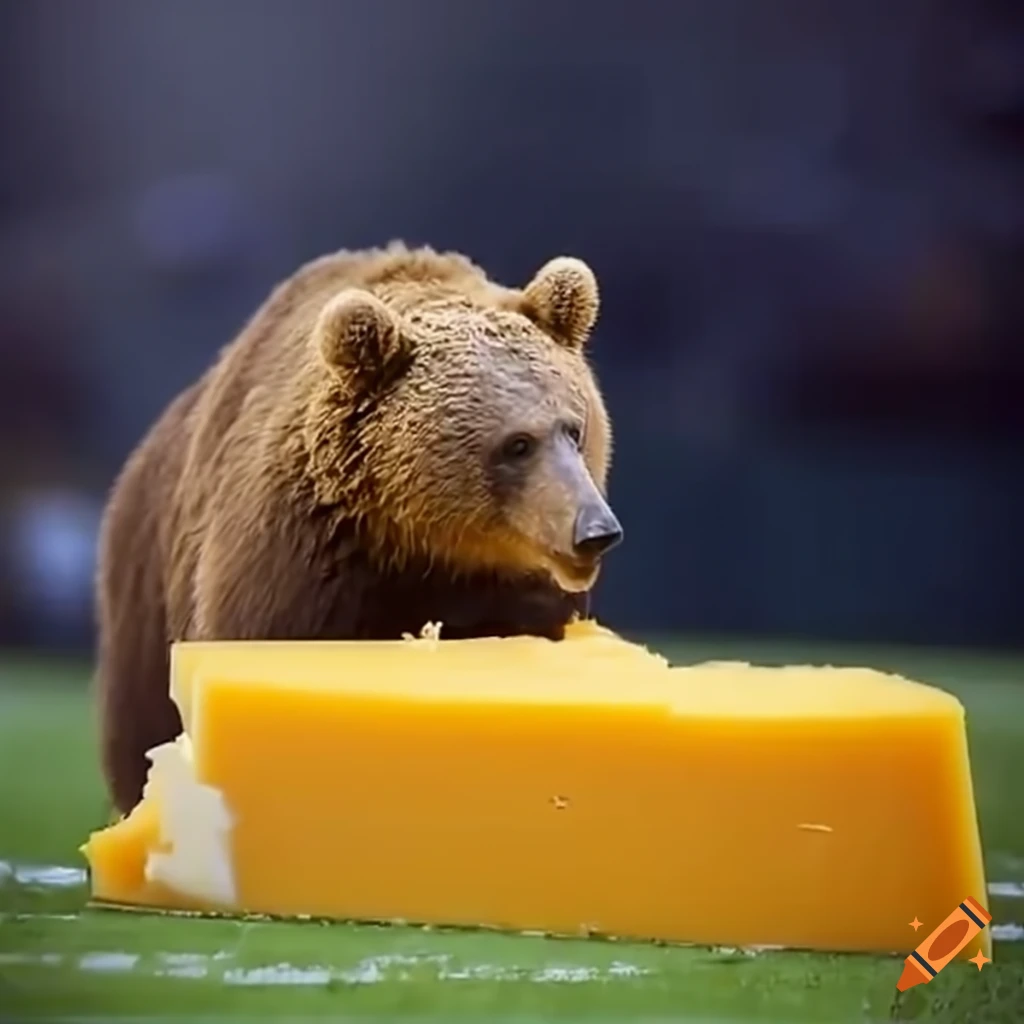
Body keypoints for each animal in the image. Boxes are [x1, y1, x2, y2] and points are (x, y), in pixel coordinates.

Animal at [95, 242, 623, 814]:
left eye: (574, 428)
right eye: (517, 444)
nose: (595, 530)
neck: (416, 542)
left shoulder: (513, 593)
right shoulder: (293, 565)